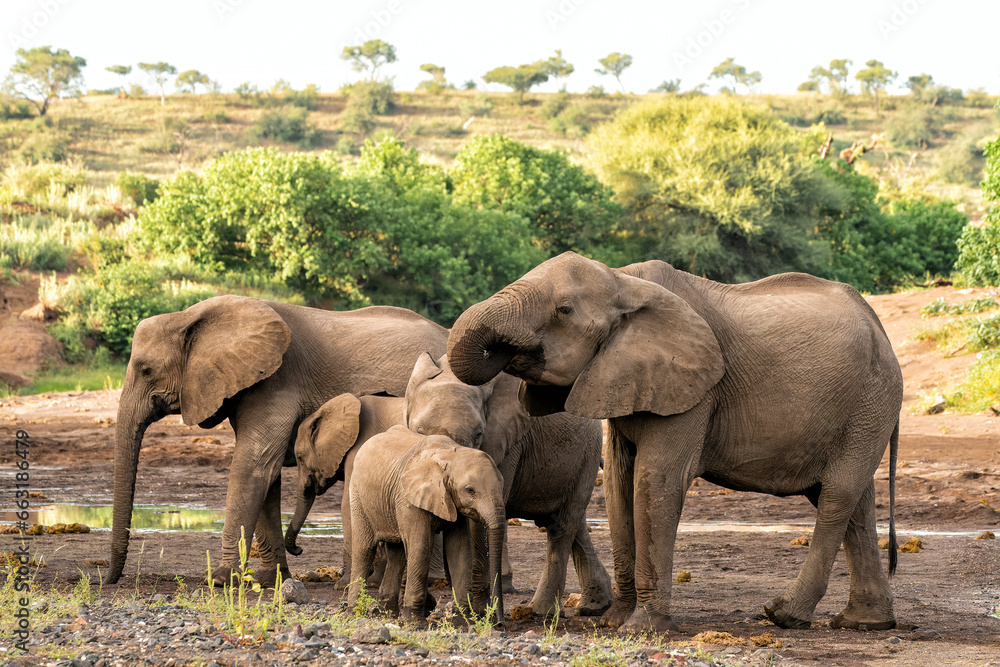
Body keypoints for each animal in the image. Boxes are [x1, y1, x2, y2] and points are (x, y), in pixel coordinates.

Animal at [108, 295, 447, 586]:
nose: (111, 579)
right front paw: (271, 581)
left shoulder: (276, 381)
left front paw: (219, 580)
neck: (188, 316)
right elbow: (265, 476)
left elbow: (252, 467)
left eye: (146, 370)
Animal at [347, 425, 506, 625]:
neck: (451, 455)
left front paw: (462, 621)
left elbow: (459, 549)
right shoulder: (408, 498)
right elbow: (421, 545)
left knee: (397, 553)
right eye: (470, 490)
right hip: (358, 494)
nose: (499, 622)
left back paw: (389, 613)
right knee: (364, 548)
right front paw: (416, 623)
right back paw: (355, 612)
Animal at [404, 352, 613, 616]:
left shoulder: (507, 443)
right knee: (573, 523)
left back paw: (539, 611)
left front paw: (476, 610)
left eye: (479, 434)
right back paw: (595, 606)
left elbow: (478, 519)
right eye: (419, 431)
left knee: (562, 526)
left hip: (587, 454)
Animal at [446, 252, 902, 634]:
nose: (498, 620)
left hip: (872, 400)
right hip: (862, 408)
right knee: (853, 502)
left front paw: (642, 628)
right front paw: (613, 622)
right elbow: (619, 482)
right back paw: (864, 623)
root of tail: (879, 324)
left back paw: (784, 615)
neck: (623, 280)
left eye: (564, 309)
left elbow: (656, 480)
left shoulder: (696, 389)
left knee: (837, 496)